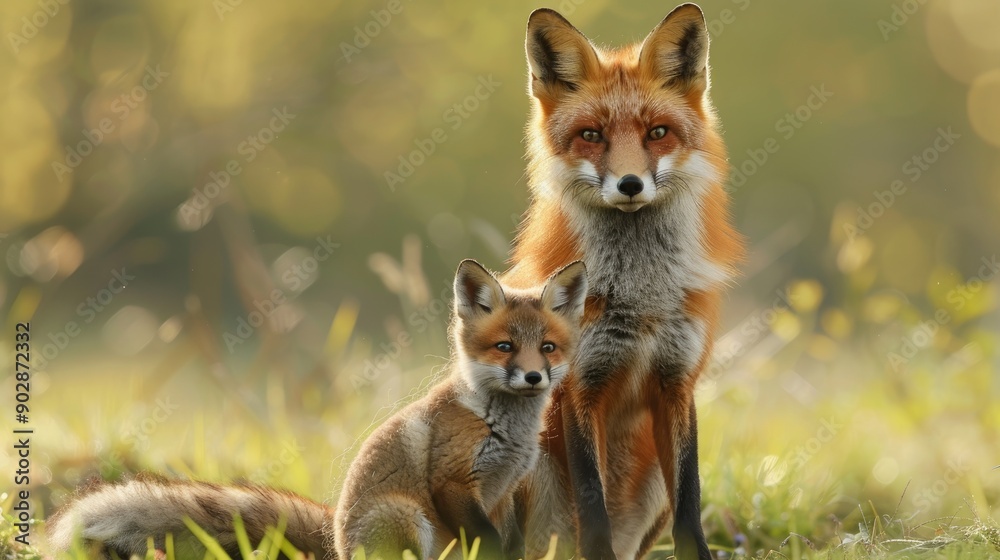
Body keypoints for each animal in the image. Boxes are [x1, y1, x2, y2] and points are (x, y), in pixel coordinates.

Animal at [46, 259, 588, 560]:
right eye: (504, 348)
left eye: (547, 348)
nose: (534, 377)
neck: (503, 427)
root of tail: (336, 547)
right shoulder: (452, 481)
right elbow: (489, 543)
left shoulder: (506, 491)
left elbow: (509, 543)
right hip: (407, 516)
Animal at [500, 4, 744, 560]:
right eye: (592, 135)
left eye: (657, 132)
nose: (630, 185)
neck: (641, 298)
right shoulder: (577, 388)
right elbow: (594, 507)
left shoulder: (677, 382)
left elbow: (690, 504)